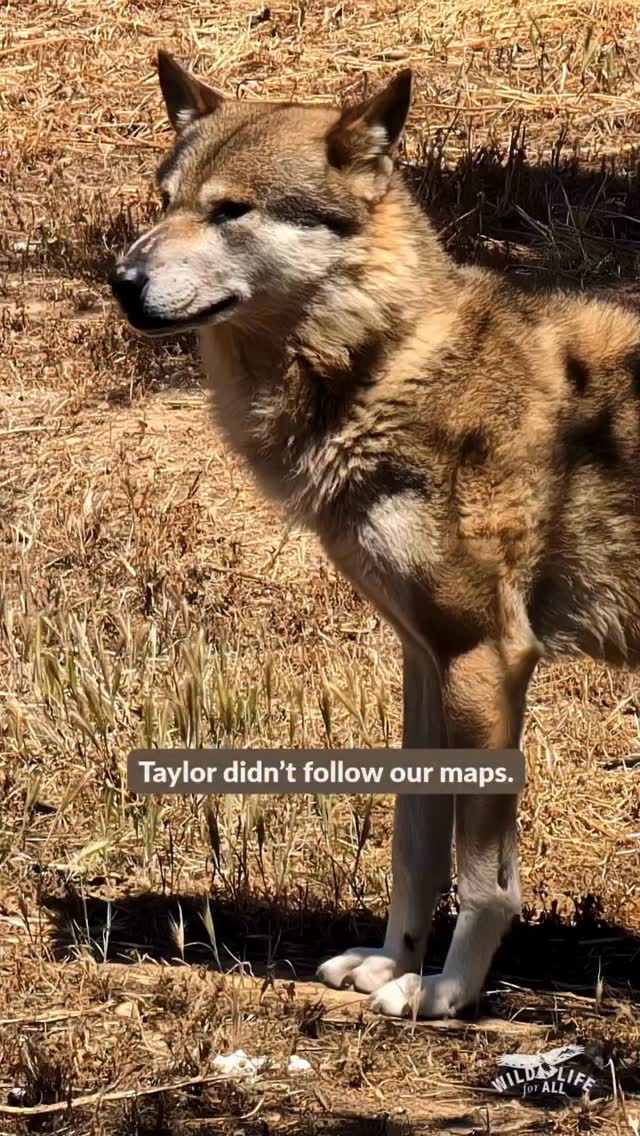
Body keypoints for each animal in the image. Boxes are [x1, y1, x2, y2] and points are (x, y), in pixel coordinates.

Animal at [111, 51, 640, 1018]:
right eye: (164, 199)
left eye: (230, 211)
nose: (121, 282)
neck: (388, 369)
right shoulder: (426, 664)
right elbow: (412, 845)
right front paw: (393, 965)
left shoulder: (487, 657)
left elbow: (484, 876)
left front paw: (446, 996)